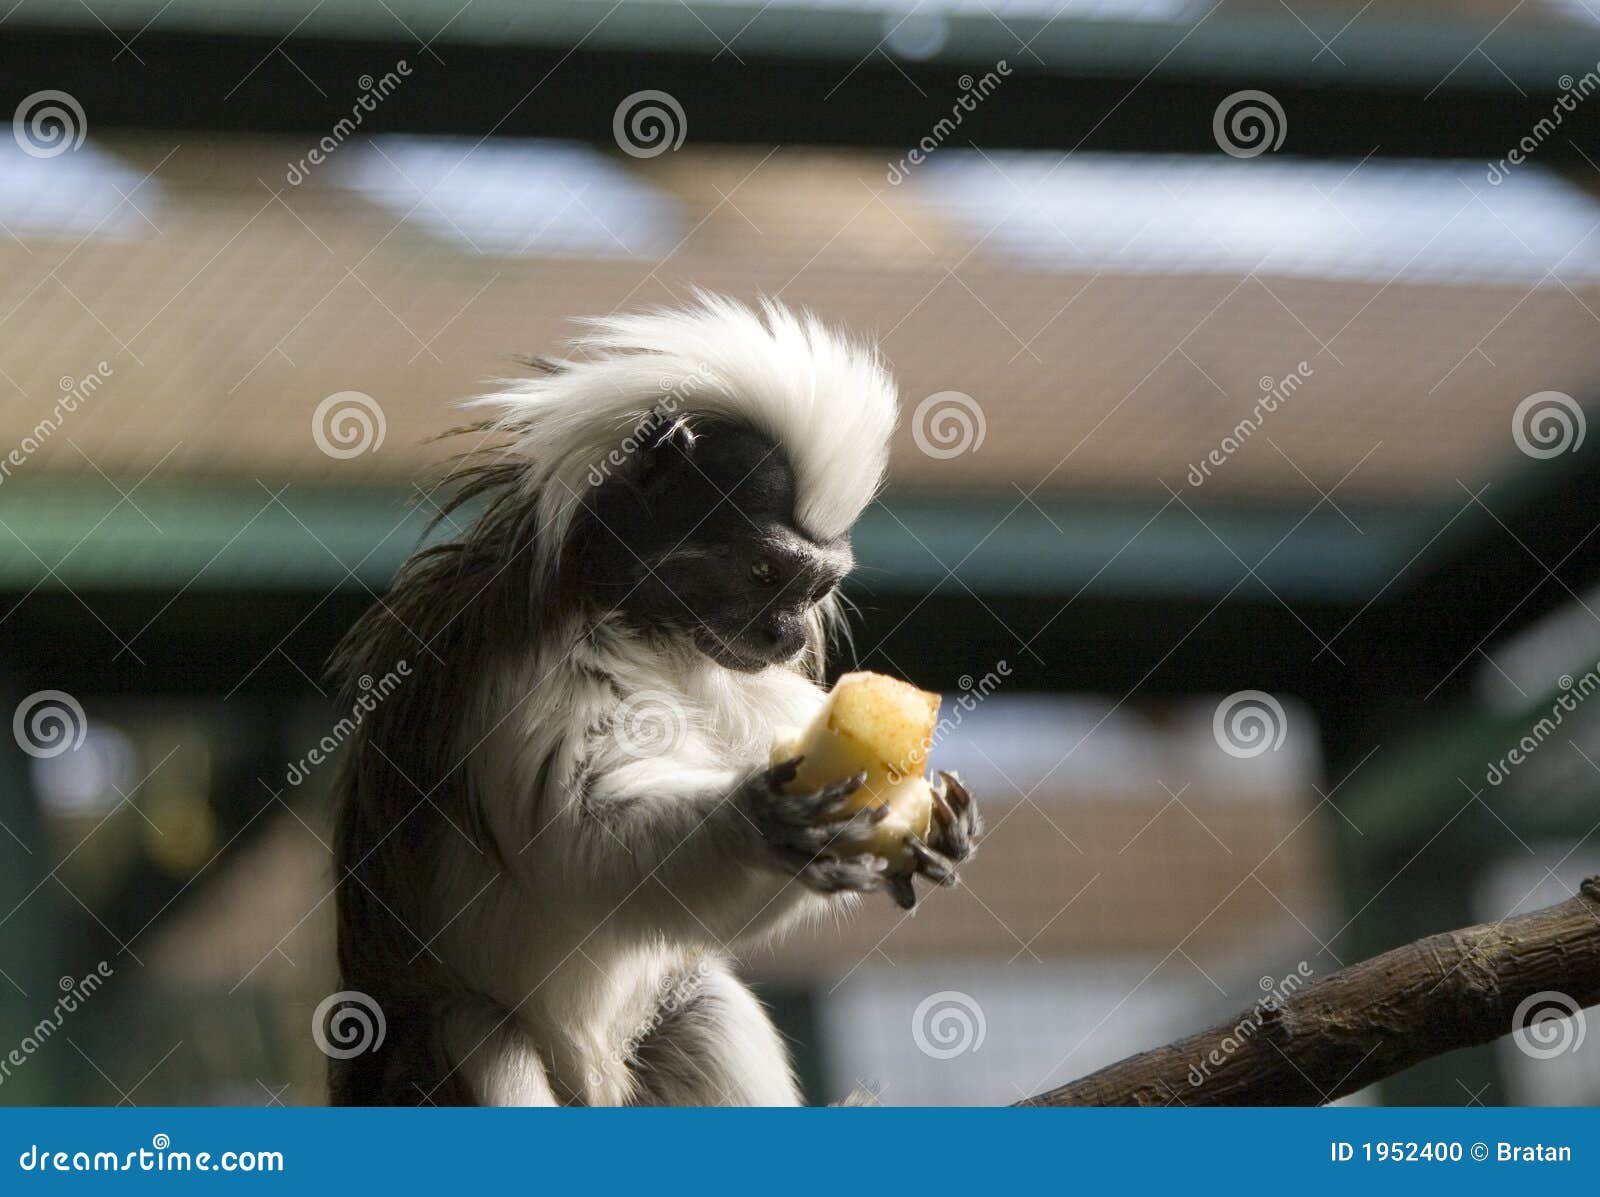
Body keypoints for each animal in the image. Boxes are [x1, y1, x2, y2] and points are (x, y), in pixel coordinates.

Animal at [325, 295, 981, 1107]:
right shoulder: (536, 664)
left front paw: (929, 831)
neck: (648, 630)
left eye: (814, 589)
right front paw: (758, 818)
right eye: (765, 573)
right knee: (476, 1032)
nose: (788, 631)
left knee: (700, 1006)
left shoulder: (740, 677)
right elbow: (579, 838)